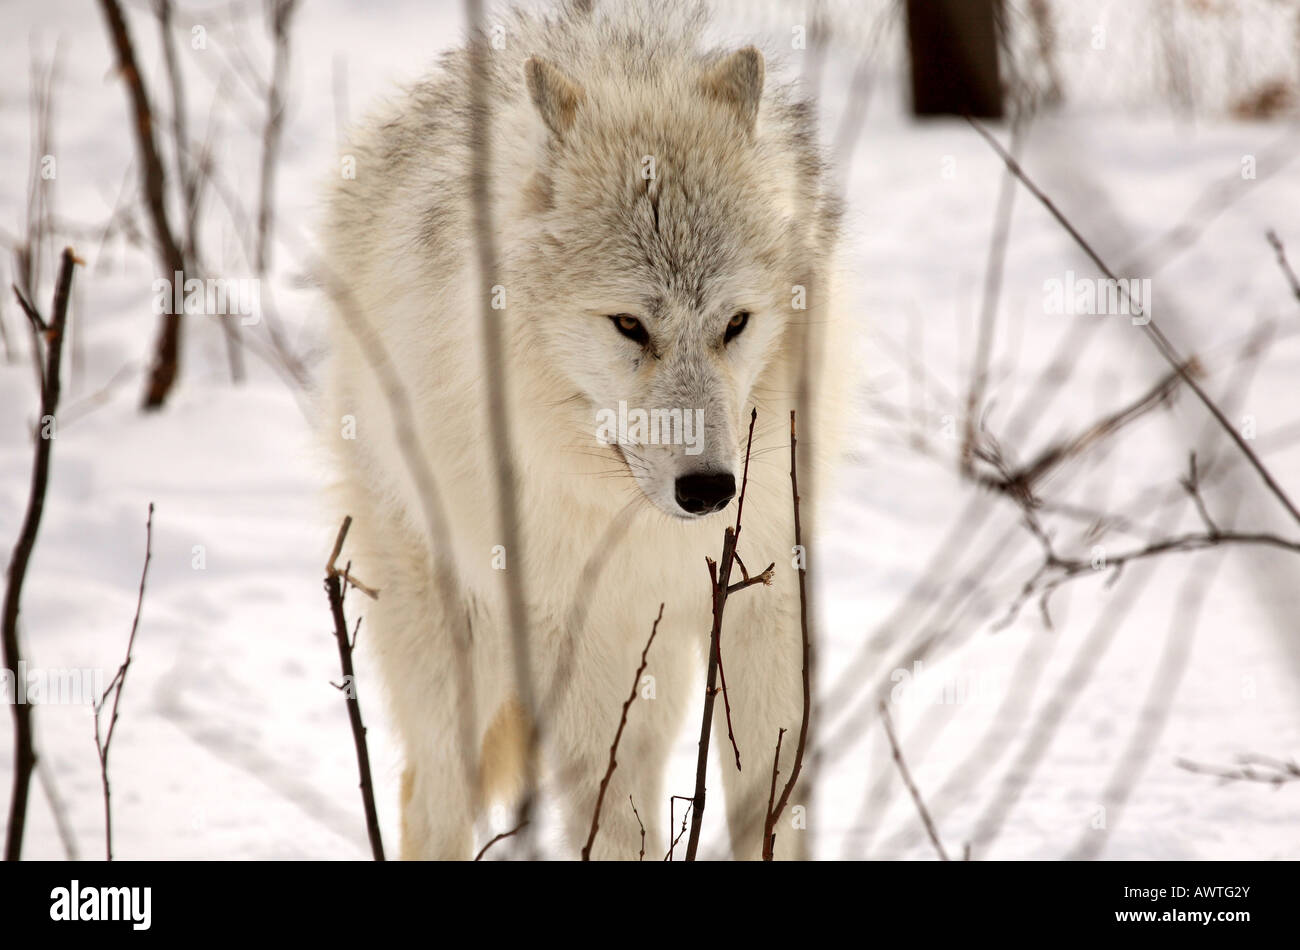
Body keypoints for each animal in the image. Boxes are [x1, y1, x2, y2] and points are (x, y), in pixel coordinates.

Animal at [320, 0, 844, 859]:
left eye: (735, 324)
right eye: (629, 325)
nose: (709, 489)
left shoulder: (764, 603)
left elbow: (766, 802)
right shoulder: (589, 630)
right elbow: (615, 822)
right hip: (462, 653)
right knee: (428, 797)